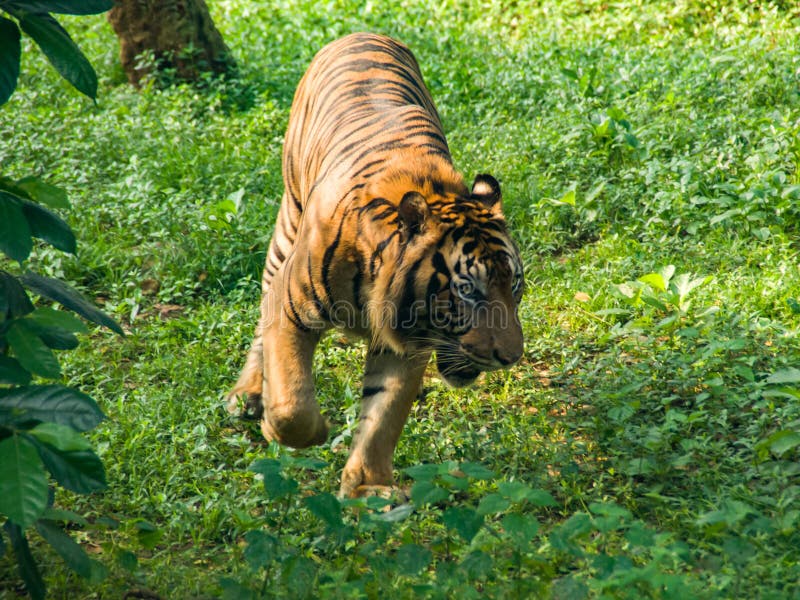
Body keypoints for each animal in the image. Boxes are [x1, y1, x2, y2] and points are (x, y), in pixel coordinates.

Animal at [228, 32, 525, 498]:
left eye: (515, 286)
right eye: (467, 290)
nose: (511, 358)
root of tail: (360, 33)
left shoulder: (407, 344)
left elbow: (384, 415)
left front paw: (368, 490)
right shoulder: (291, 308)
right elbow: (293, 402)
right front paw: (295, 431)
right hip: (286, 227)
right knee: (261, 315)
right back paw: (249, 395)